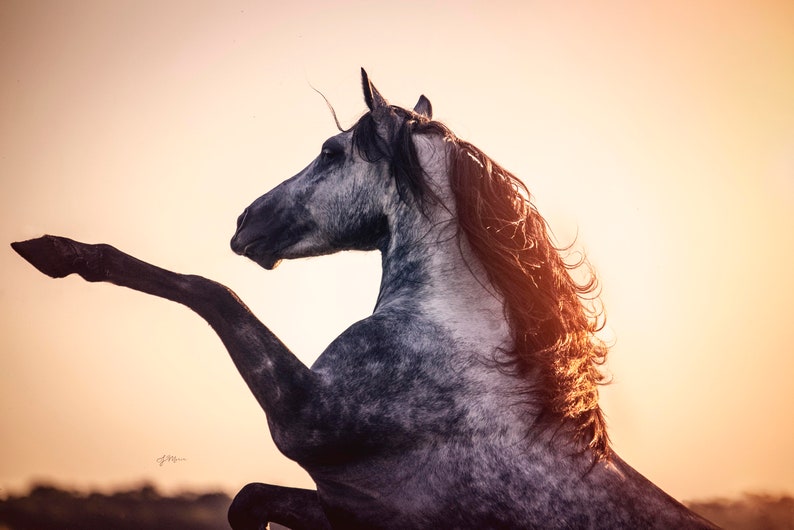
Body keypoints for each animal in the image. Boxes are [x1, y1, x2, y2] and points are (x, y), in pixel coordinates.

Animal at [12, 69, 718, 529]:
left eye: (330, 151)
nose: (244, 223)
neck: (454, 338)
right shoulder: (353, 509)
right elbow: (247, 500)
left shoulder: (304, 416)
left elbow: (211, 292)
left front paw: (60, 253)